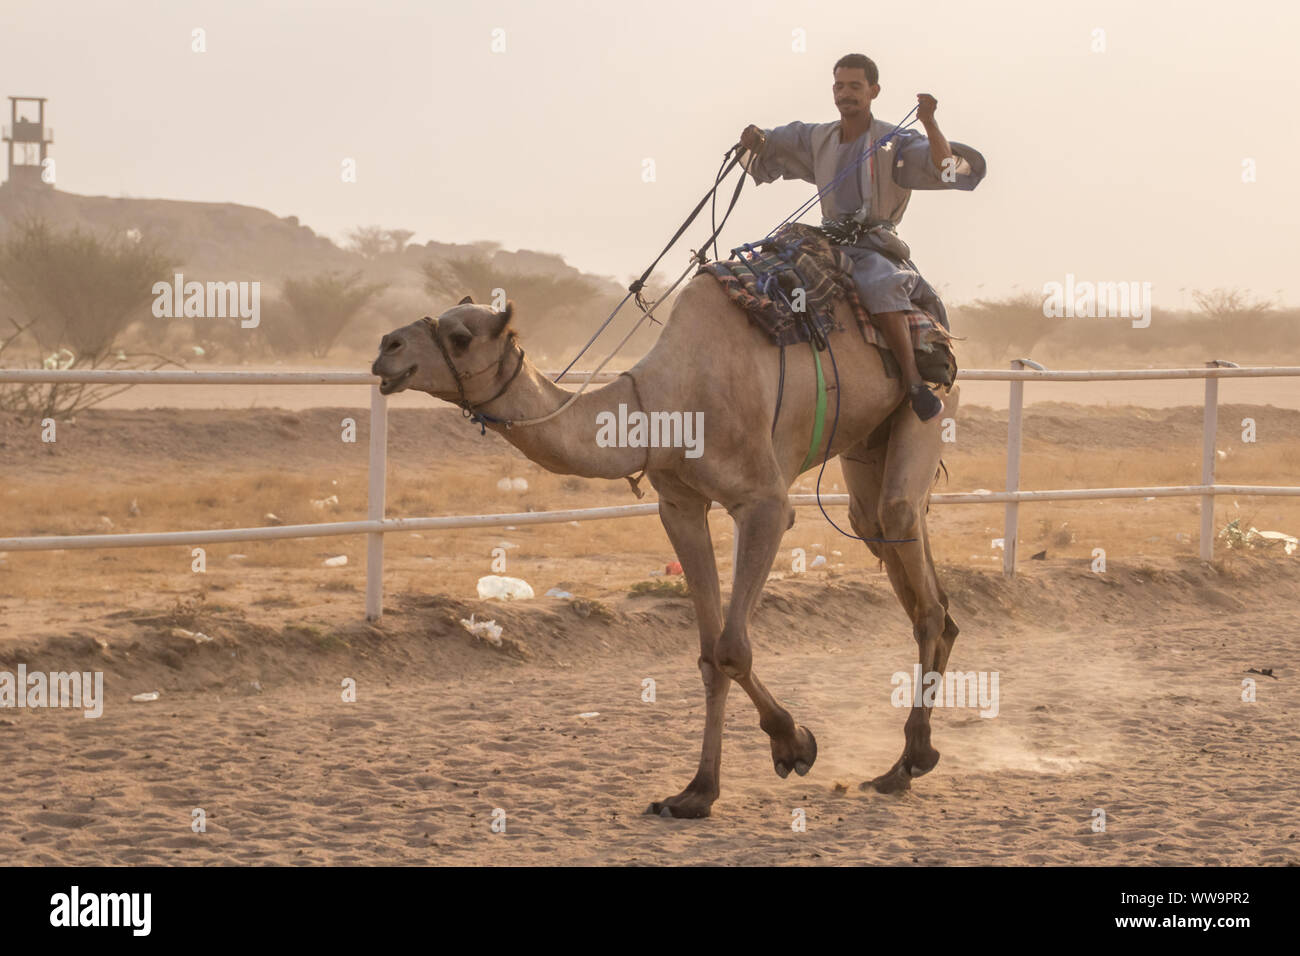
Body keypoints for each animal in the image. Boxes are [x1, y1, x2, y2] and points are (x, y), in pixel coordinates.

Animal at [372, 275, 961, 817]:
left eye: (461, 336)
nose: (386, 348)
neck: (665, 405)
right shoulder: (679, 505)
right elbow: (708, 653)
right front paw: (697, 792)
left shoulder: (764, 504)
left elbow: (732, 647)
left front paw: (793, 745)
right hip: (868, 443)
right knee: (888, 537)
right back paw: (913, 747)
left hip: (932, 399)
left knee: (910, 554)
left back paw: (908, 761)